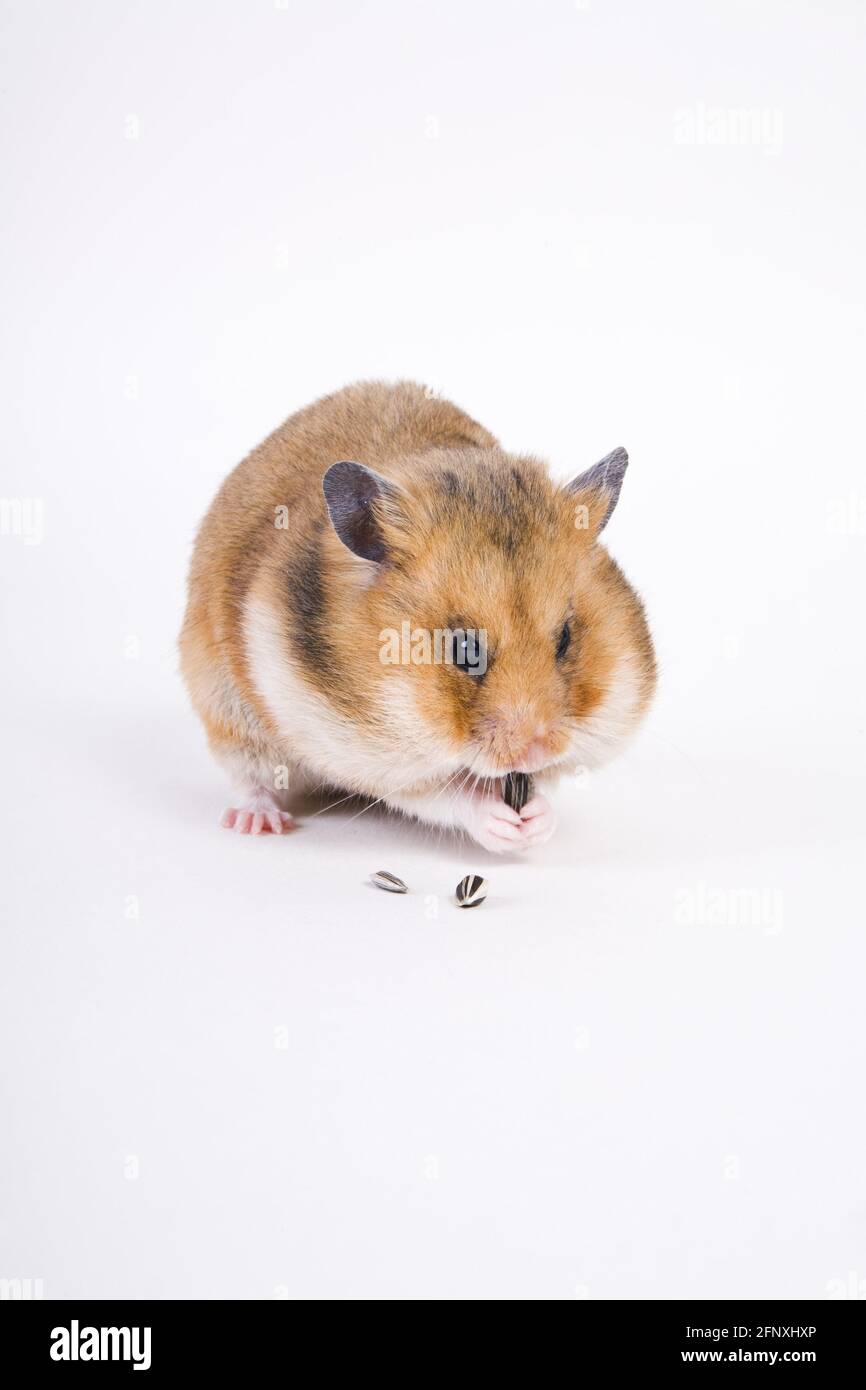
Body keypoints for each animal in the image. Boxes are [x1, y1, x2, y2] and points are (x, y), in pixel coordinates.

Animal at [179, 381, 655, 852]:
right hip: (227, 709)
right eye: (463, 650)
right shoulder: (364, 754)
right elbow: (442, 795)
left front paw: (535, 823)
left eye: (565, 640)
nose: (536, 751)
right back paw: (256, 823)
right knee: (252, 778)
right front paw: (503, 825)